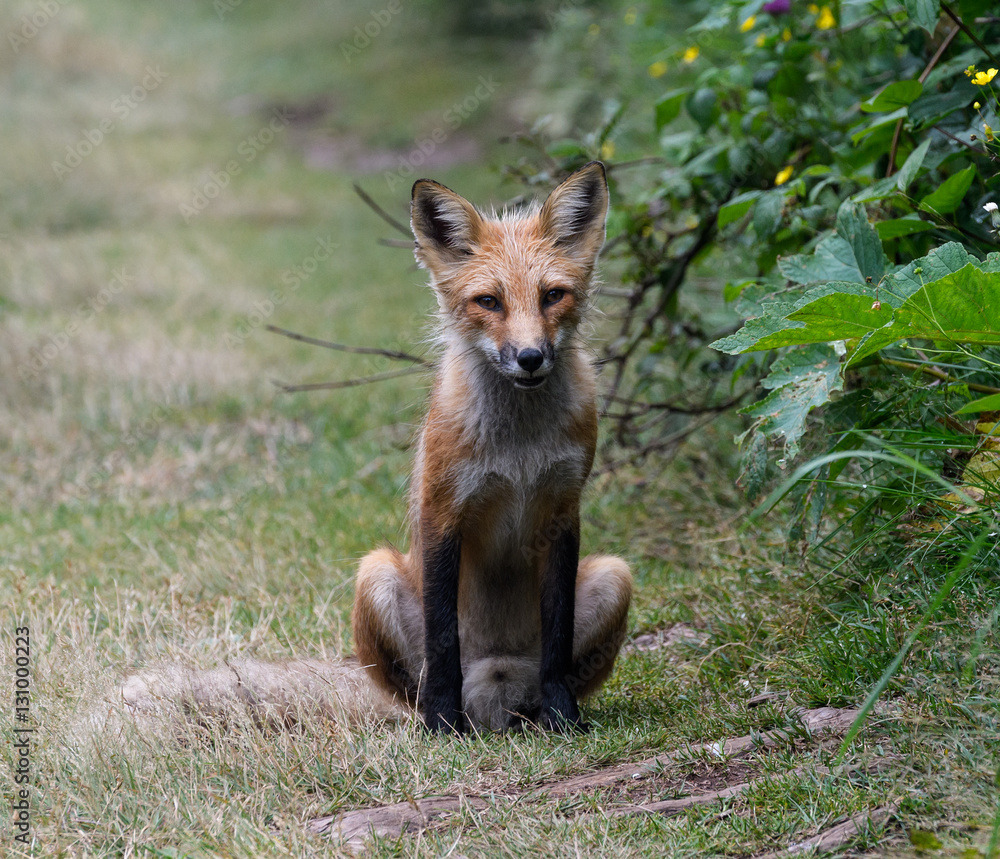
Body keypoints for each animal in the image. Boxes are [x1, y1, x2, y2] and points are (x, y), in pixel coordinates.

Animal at [352, 161, 633, 733]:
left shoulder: (562, 508)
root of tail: (497, 701)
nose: (530, 357)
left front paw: (562, 717)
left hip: (616, 574)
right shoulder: (443, 511)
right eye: (489, 301)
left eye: (552, 295)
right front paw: (443, 723)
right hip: (374, 572)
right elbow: (443, 637)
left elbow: (557, 636)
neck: (518, 452)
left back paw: (537, 715)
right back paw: (440, 718)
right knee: (421, 685)